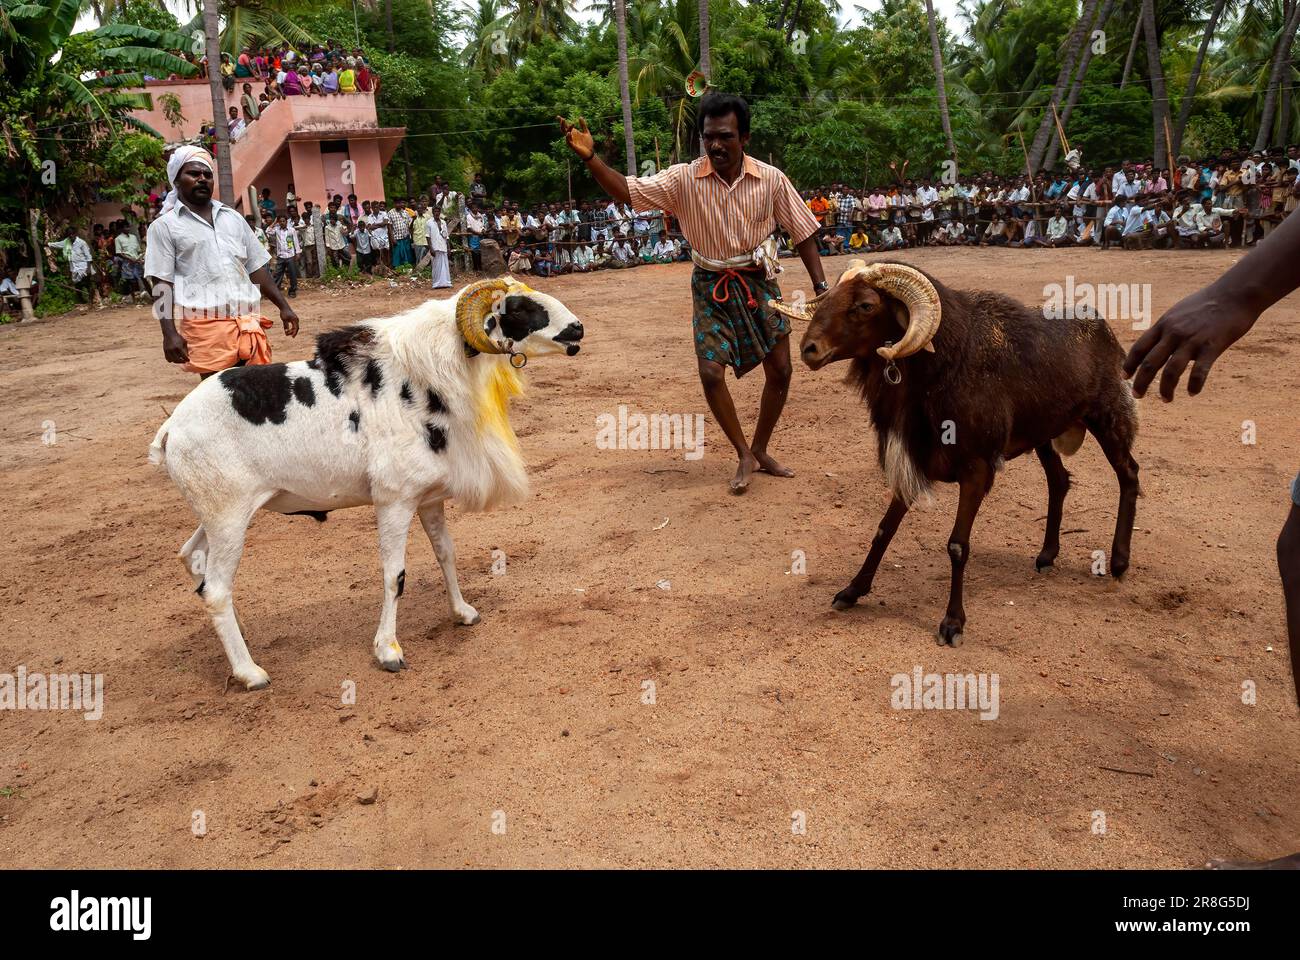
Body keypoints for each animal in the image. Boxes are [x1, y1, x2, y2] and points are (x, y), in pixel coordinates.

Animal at [148, 277, 584, 688]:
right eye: (519, 307)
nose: (577, 329)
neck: (428, 377)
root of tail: (171, 429)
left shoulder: (428, 499)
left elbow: (446, 554)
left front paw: (463, 612)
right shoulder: (394, 501)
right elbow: (395, 576)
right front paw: (388, 650)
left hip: (216, 515)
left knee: (191, 559)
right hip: (228, 517)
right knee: (216, 591)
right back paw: (249, 672)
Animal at [778, 260, 1139, 645]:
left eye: (865, 305)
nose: (809, 349)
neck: (943, 372)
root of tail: (1105, 330)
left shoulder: (976, 470)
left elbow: (957, 546)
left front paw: (952, 624)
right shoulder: (914, 462)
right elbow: (883, 531)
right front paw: (852, 591)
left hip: (1108, 416)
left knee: (1128, 474)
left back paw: (1119, 563)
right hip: (1044, 434)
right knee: (1059, 482)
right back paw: (1046, 556)